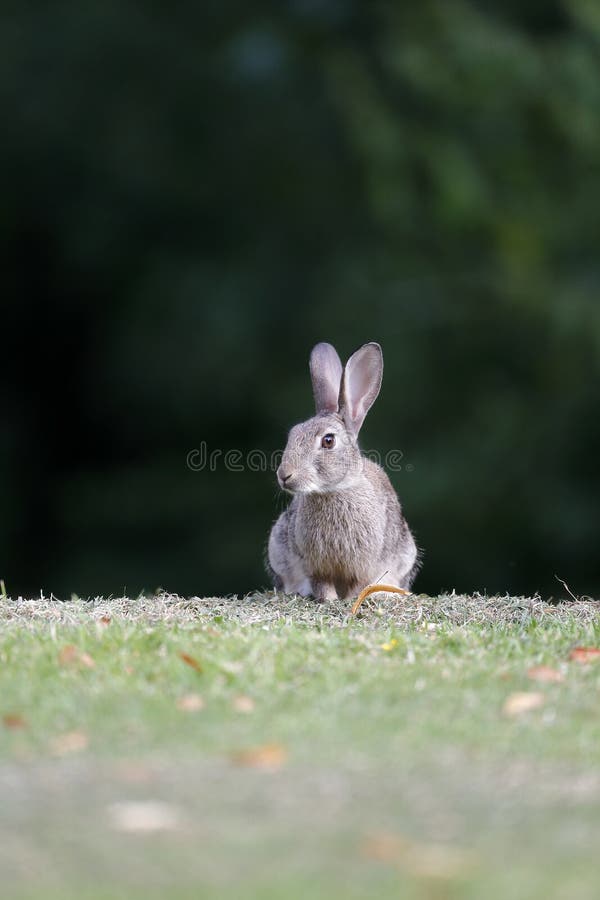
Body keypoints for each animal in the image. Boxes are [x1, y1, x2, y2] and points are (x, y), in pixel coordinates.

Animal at [267, 341, 419, 601]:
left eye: (328, 441)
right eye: (293, 434)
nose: (284, 475)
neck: (334, 490)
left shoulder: (364, 566)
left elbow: (358, 585)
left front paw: (348, 600)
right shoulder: (316, 566)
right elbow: (321, 583)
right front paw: (328, 599)